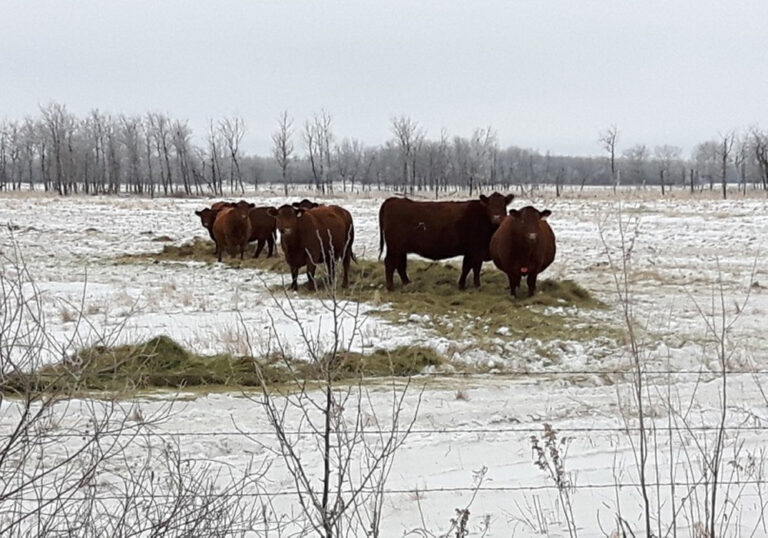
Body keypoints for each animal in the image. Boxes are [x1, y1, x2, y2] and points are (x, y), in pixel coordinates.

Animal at [378, 192, 515, 291]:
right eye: (490, 205)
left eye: (503, 204)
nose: (497, 218)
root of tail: (392, 200)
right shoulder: (475, 250)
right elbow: (472, 267)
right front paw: (472, 286)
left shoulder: (473, 252)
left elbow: (470, 267)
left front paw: (467, 285)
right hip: (394, 247)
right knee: (390, 263)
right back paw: (390, 287)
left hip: (400, 249)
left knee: (400, 264)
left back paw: (407, 283)